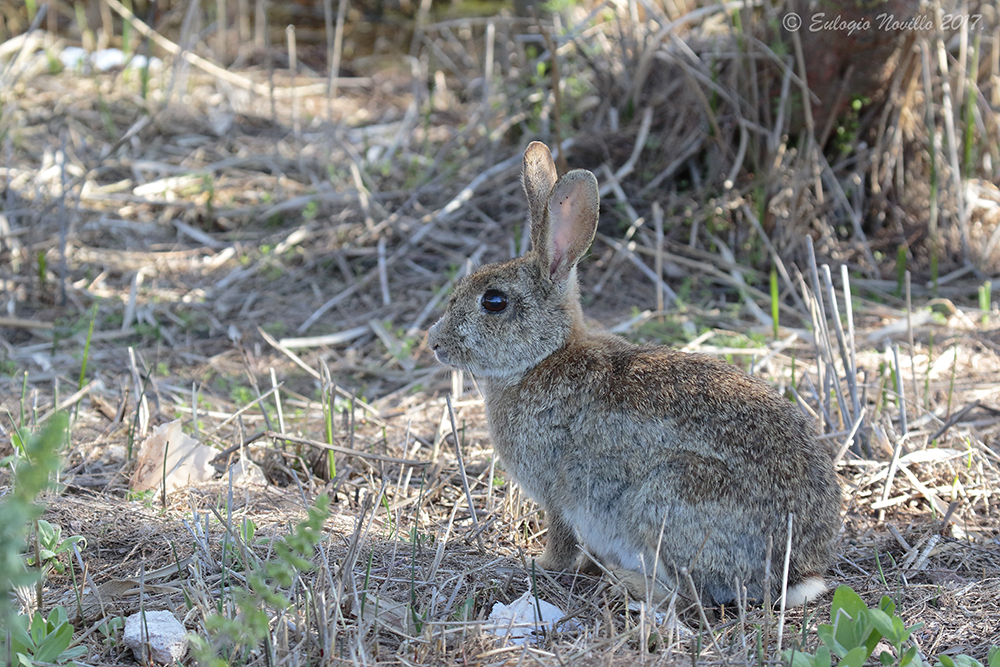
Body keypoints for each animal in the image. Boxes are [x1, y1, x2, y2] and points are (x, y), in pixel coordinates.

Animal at [427, 142, 841, 608]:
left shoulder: (558, 495)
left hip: (669, 496)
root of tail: (796, 572)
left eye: (494, 301)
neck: (545, 357)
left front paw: (538, 564)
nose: (434, 342)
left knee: (687, 592)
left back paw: (624, 581)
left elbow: (561, 540)